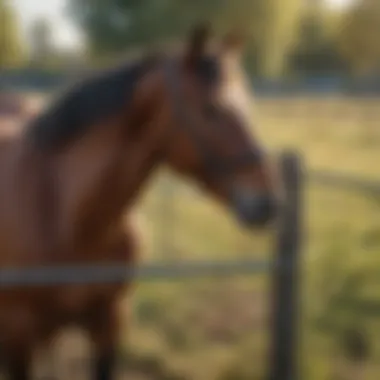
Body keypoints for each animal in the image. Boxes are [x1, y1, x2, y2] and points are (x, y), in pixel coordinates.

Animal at [0, 24, 280, 380]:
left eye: (247, 104)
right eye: (210, 109)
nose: (268, 201)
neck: (61, 211)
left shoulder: (109, 323)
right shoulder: (17, 335)